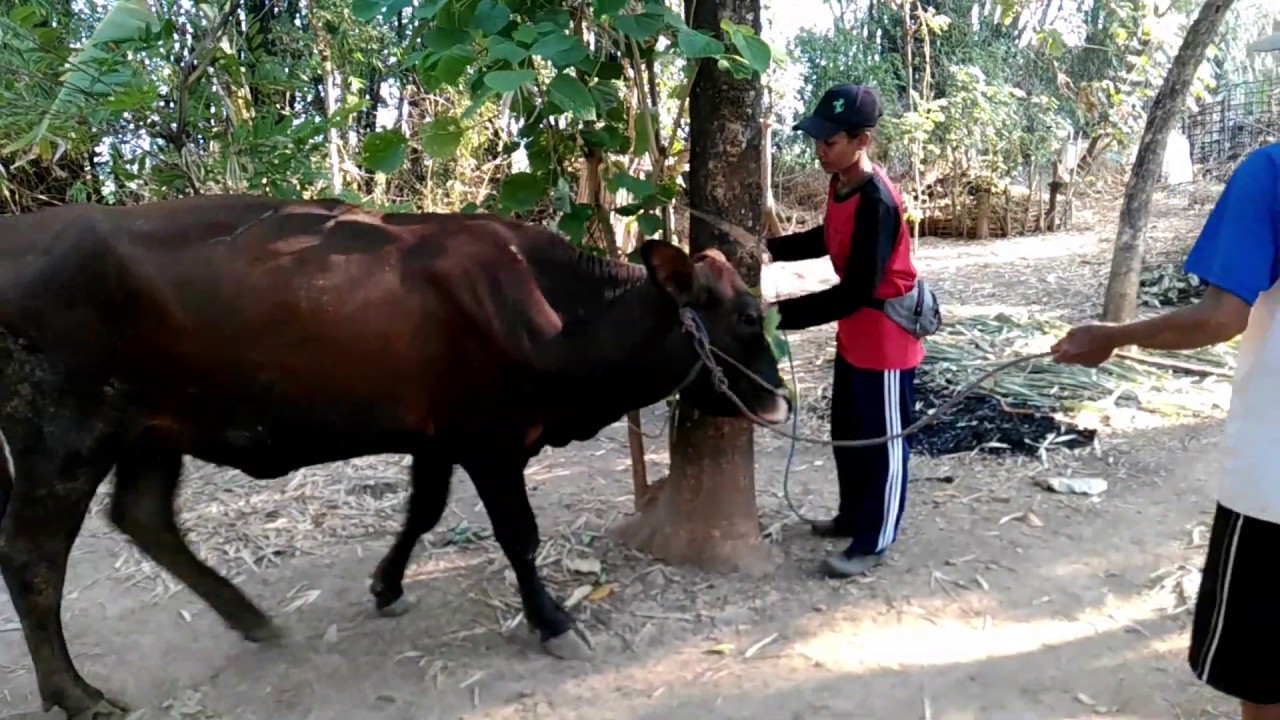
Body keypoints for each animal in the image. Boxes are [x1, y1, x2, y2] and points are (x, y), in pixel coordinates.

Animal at [0, 194, 791, 720]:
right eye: (747, 315)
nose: (780, 401)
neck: (557, 309)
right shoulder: (491, 440)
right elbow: (519, 535)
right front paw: (554, 622)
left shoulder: (436, 435)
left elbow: (425, 510)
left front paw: (387, 585)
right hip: (62, 435)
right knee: (32, 558)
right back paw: (76, 693)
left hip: (152, 430)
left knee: (145, 518)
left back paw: (249, 616)